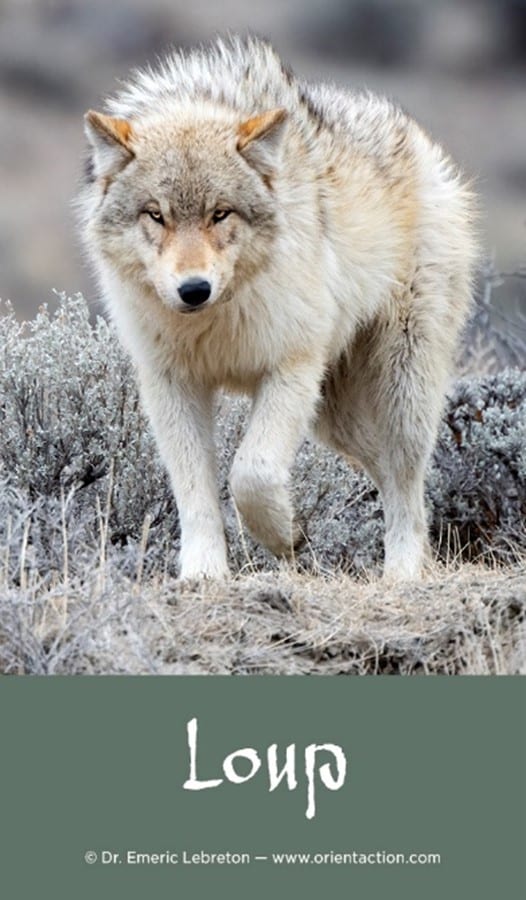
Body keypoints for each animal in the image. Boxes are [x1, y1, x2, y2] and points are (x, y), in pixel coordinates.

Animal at [79, 35, 478, 581]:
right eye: (156, 216)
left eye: (220, 214)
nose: (194, 289)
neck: (215, 323)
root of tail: (420, 140)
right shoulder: (171, 384)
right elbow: (195, 492)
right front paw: (203, 573)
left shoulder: (292, 367)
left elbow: (252, 474)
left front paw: (281, 534)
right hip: (335, 417)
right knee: (384, 473)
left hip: (400, 394)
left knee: (406, 483)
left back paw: (403, 573)